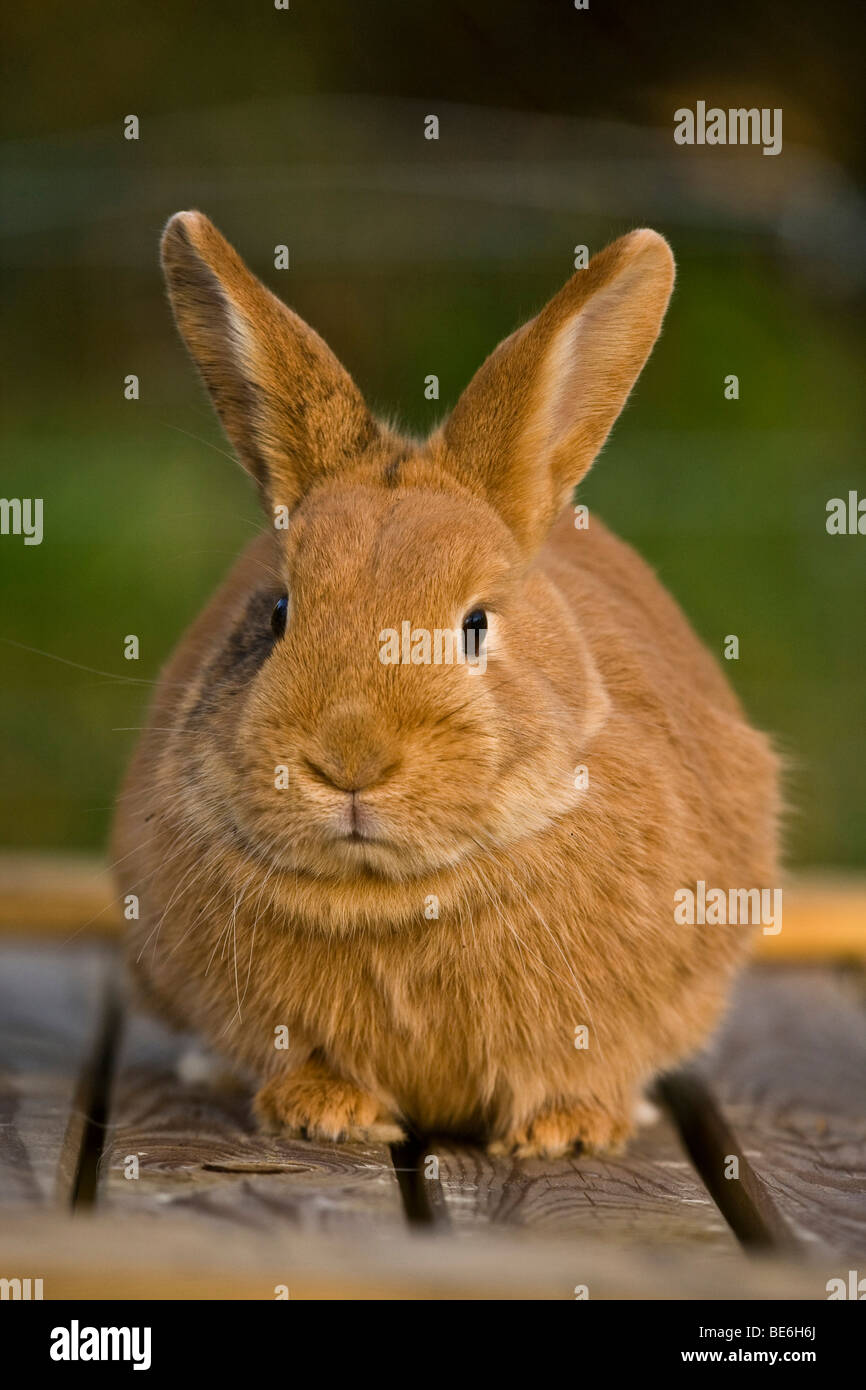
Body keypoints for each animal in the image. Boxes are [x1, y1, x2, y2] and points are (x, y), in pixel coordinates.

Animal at [112, 212, 780, 1158]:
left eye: (475, 625)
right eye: (278, 611)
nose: (350, 759)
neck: (398, 895)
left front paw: (568, 1133)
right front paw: (325, 1114)